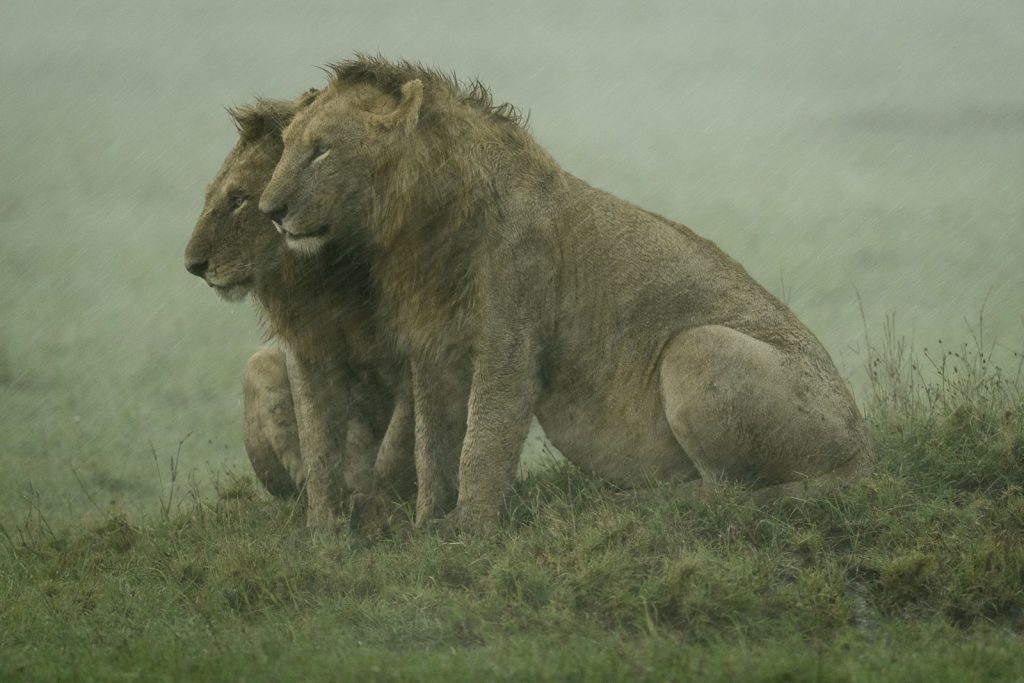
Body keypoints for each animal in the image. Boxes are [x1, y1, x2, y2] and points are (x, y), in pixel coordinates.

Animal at [183, 92, 415, 527]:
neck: (330, 270)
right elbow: (318, 443)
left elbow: (398, 441)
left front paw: (386, 511)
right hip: (258, 365)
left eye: (238, 199)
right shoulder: (308, 344)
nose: (191, 265)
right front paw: (327, 527)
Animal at [259, 56, 873, 532]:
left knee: (728, 494)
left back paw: (638, 501)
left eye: (322, 150)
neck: (416, 230)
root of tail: (864, 449)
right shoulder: (434, 351)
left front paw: (468, 530)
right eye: (285, 146)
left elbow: (482, 442)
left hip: (698, 346)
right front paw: (426, 522)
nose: (270, 210)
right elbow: (432, 446)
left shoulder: (509, 341)